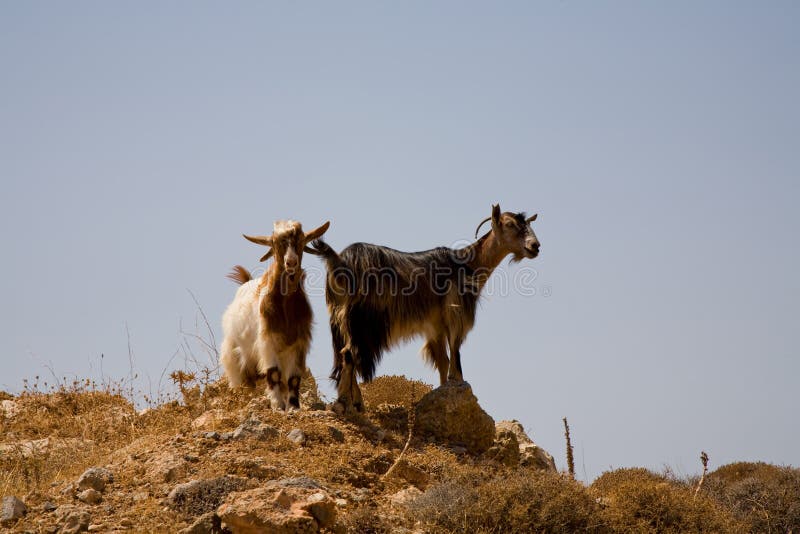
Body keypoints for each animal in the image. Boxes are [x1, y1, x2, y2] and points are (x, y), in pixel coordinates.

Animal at [220, 219, 330, 411]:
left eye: (301, 241)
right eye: (275, 242)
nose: (291, 262)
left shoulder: (298, 343)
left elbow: (293, 379)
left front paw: (293, 406)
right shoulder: (267, 342)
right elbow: (273, 374)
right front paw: (277, 405)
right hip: (233, 356)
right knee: (240, 381)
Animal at [311, 204, 539, 411]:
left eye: (528, 224)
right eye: (509, 224)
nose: (535, 246)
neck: (468, 265)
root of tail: (340, 262)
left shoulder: (434, 326)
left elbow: (443, 361)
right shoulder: (455, 313)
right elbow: (455, 357)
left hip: (341, 319)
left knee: (344, 353)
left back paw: (356, 402)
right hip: (363, 320)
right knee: (350, 353)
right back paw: (345, 402)